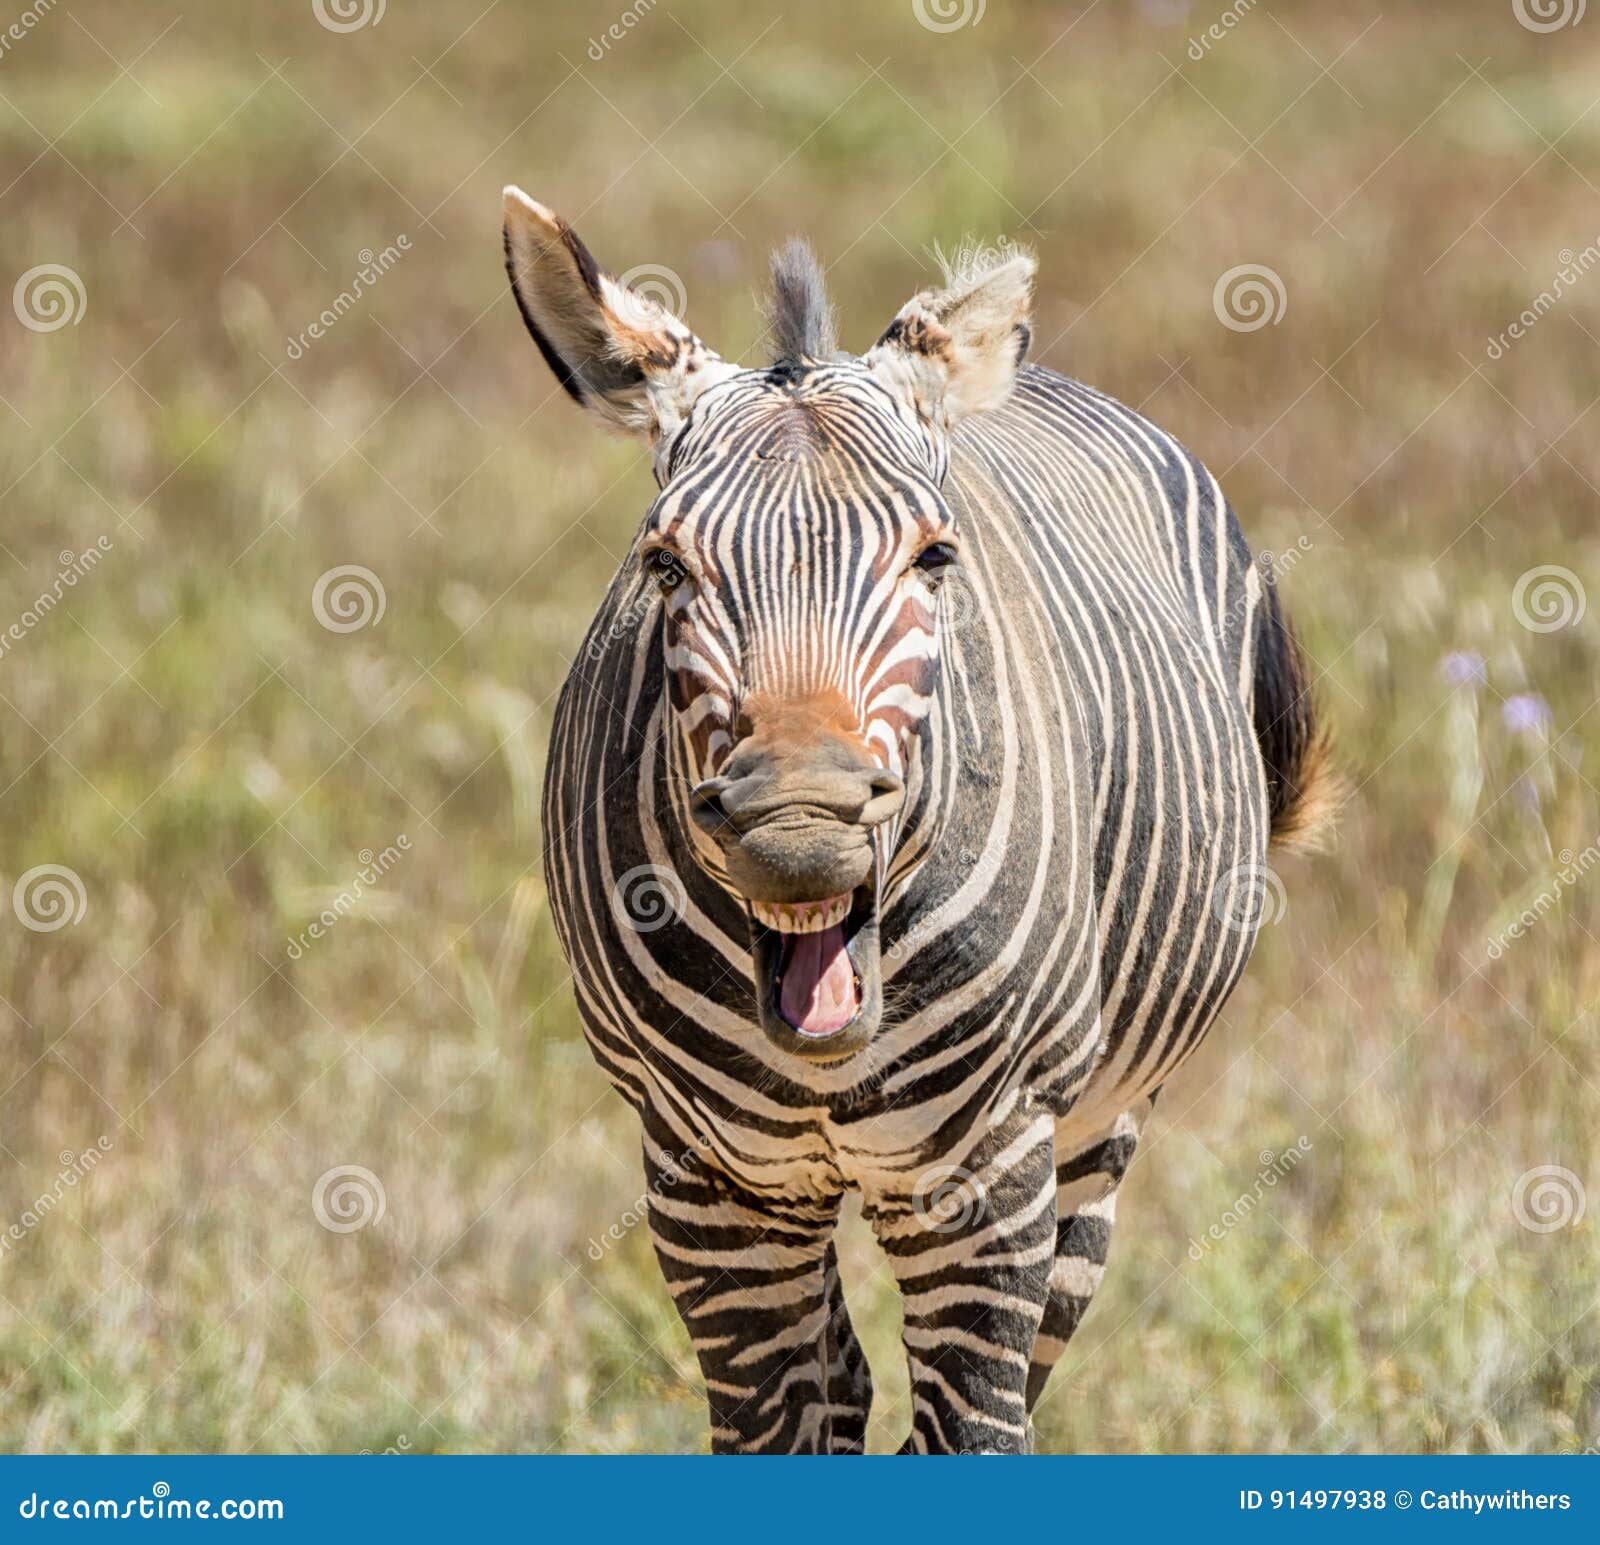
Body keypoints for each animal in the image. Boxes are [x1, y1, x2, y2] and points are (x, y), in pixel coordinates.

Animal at [503, 186, 1336, 1454]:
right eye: (664, 568)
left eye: (933, 556)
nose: (798, 831)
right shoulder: (704, 1182)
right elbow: (776, 1428)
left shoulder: (989, 1176)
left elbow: (972, 1429)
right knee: (848, 1386)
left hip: (1096, 1132)